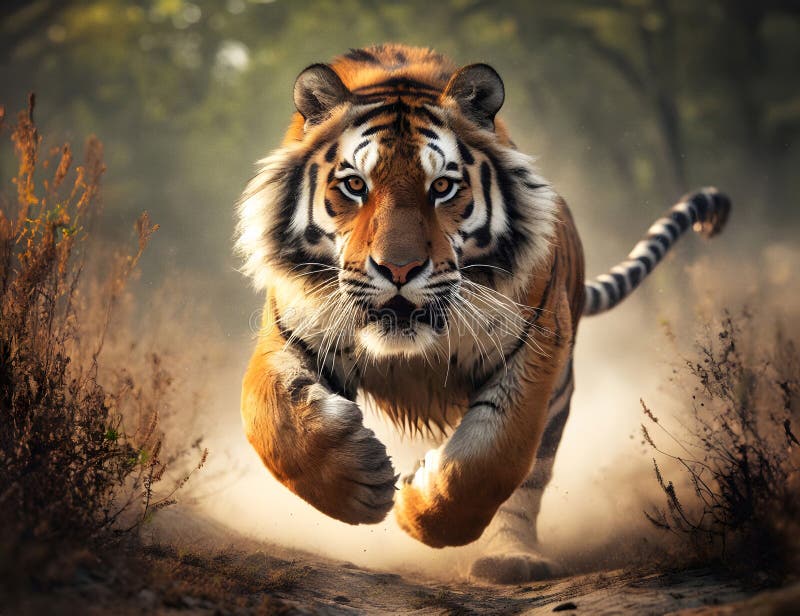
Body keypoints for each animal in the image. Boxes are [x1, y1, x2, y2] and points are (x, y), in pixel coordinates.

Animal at [235, 44, 730, 584]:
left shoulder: (534, 347)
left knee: (529, 482)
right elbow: (269, 419)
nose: (399, 268)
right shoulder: (289, 333)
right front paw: (360, 485)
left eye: (442, 187)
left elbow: (493, 459)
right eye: (354, 185)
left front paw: (419, 509)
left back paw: (511, 558)